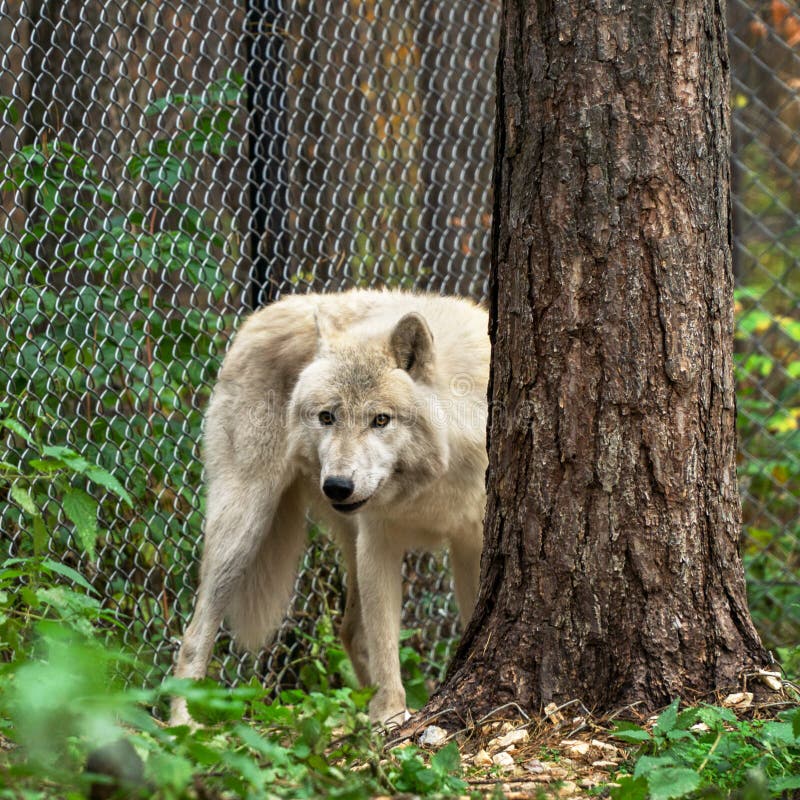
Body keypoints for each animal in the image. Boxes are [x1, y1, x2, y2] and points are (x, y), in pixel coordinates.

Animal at [170, 290, 490, 727]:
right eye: (327, 416)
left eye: (380, 420)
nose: (337, 487)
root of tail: (264, 311)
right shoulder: (378, 540)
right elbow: (386, 644)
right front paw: (391, 717)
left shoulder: (470, 545)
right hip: (243, 524)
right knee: (193, 634)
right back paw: (181, 726)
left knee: (350, 632)